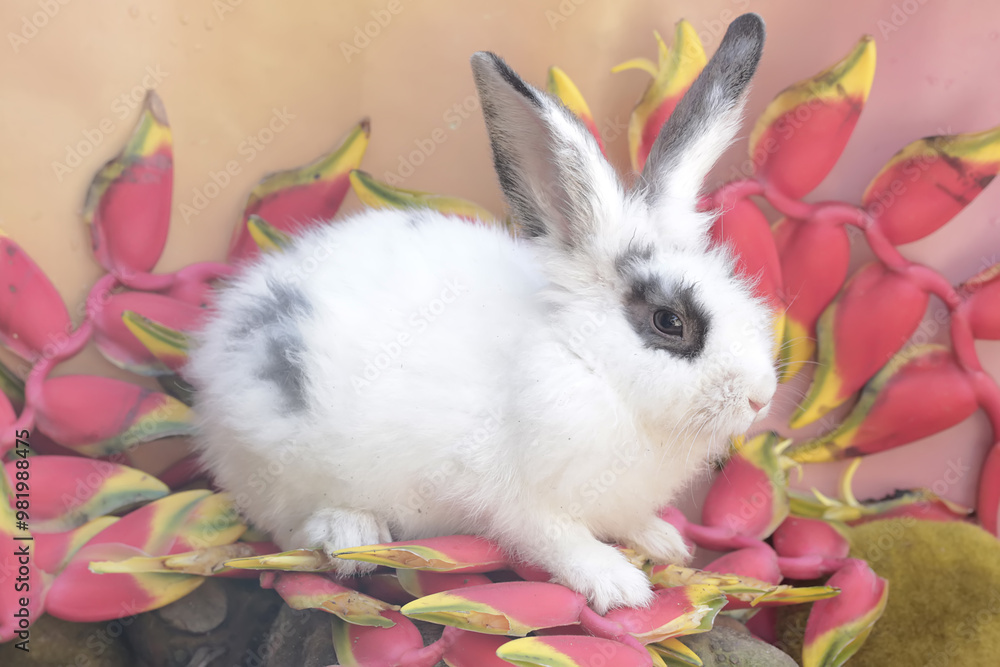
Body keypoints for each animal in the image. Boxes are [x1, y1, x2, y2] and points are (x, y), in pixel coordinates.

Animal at [187, 13, 775, 614]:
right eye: (668, 322)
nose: (761, 397)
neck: (587, 365)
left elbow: (628, 518)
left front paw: (666, 541)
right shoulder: (522, 501)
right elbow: (559, 539)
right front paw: (621, 587)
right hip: (281, 461)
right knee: (289, 523)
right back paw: (351, 536)